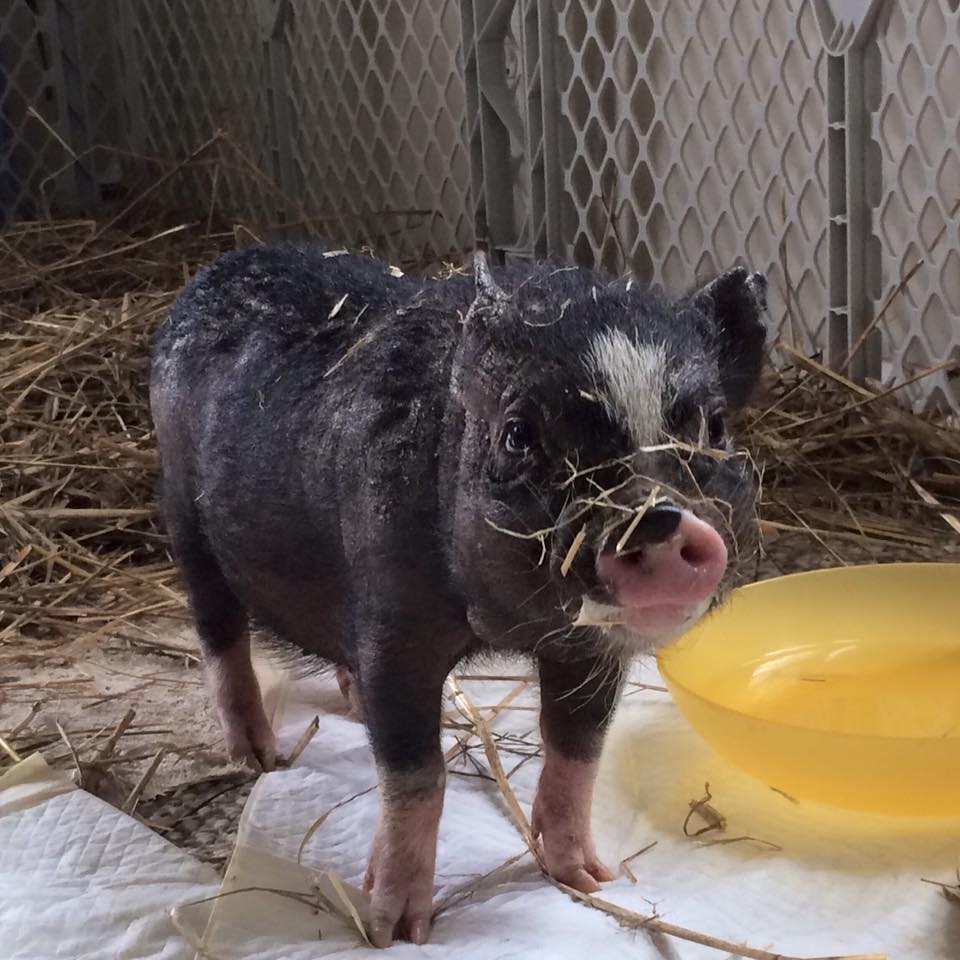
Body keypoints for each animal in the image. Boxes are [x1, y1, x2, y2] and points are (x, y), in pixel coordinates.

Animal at [149, 244, 766, 947]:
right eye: (518, 433)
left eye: (714, 426)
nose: (660, 519)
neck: (506, 627)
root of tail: (214, 269)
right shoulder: (396, 633)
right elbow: (417, 776)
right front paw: (394, 931)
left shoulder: (589, 653)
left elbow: (578, 750)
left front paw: (588, 880)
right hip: (184, 517)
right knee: (219, 634)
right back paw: (258, 756)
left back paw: (349, 708)